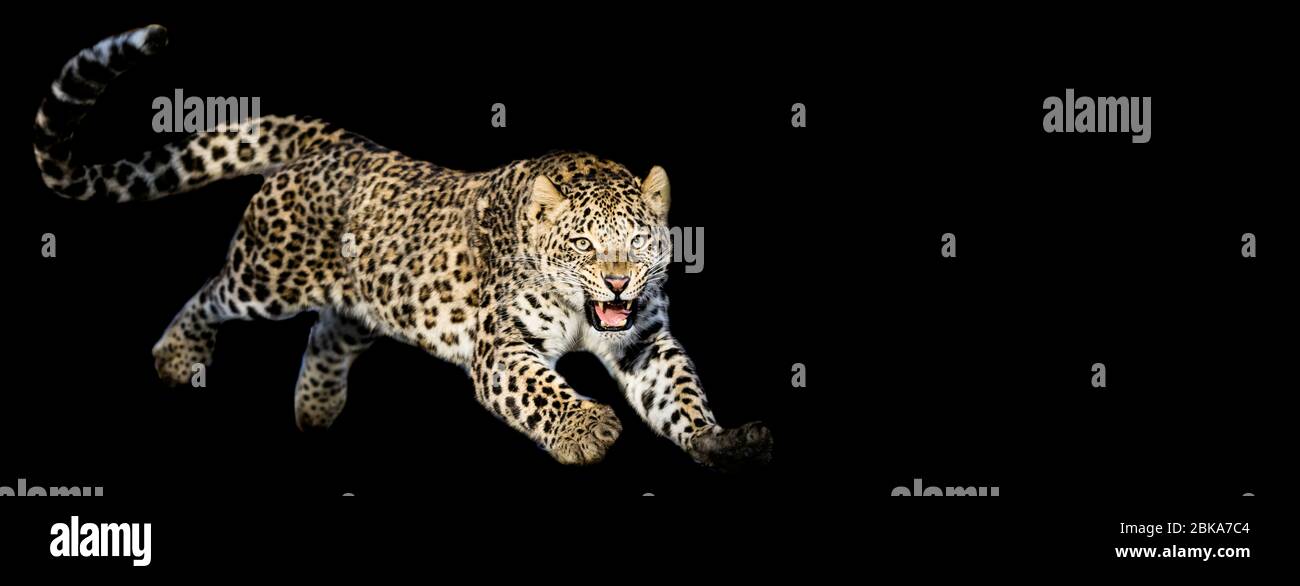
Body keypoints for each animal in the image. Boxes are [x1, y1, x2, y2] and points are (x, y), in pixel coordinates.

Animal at [33, 25, 772, 470]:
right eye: (585, 245)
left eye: (640, 244)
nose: (618, 282)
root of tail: (341, 144)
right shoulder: (501, 347)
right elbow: (538, 386)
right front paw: (585, 429)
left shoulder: (645, 340)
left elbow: (679, 393)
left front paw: (720, 440)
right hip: (268, 277)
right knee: (214, 292)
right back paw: (175, 356)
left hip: (370, 301)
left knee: (330, 332)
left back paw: (316, 412)